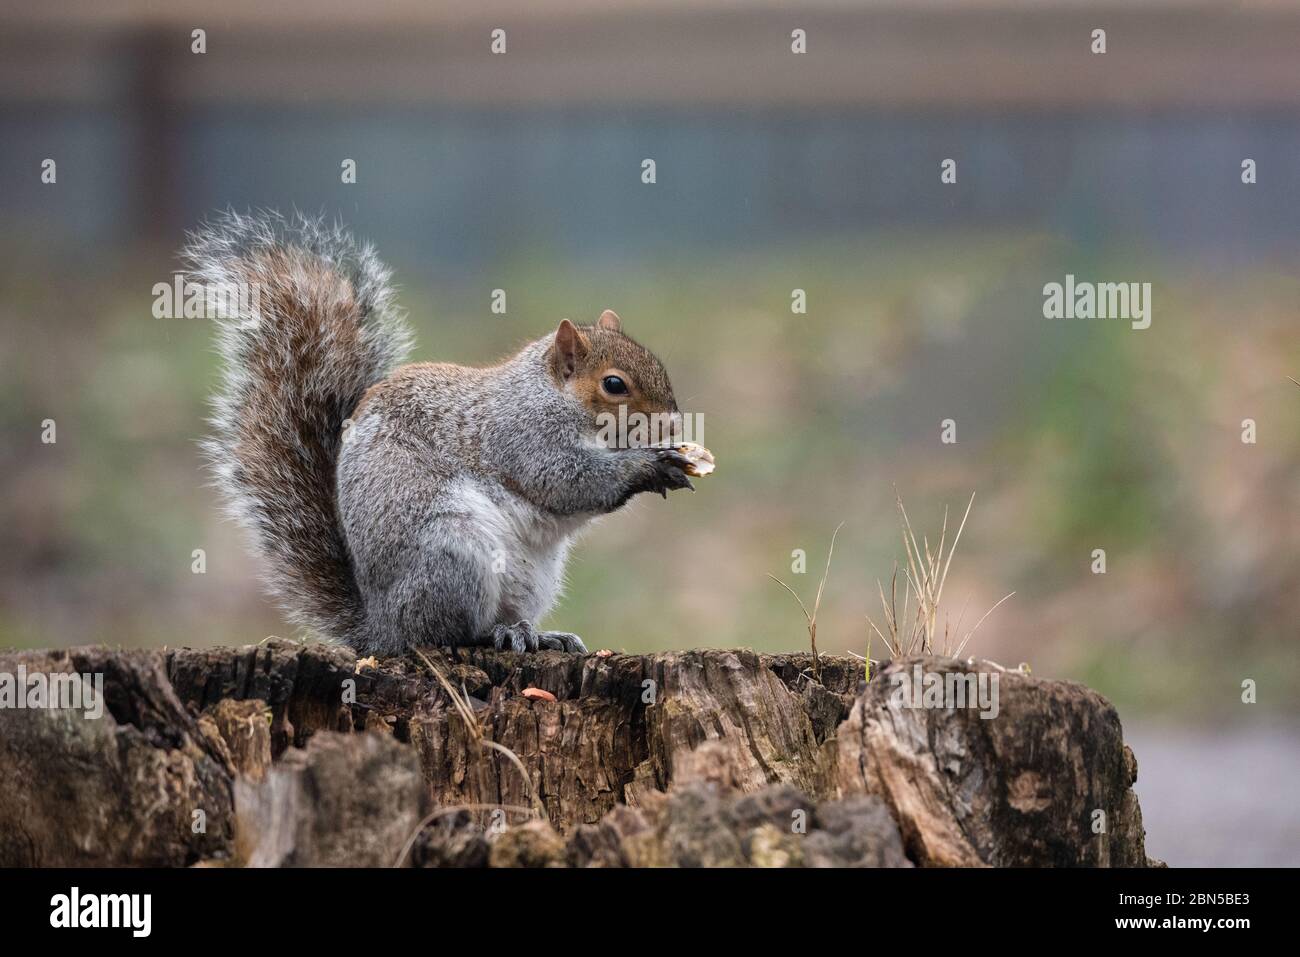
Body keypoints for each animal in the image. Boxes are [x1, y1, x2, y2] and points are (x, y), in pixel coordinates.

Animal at [187, 211, 697, 657]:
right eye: (614, 384)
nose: (673, 423)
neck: (550, 395)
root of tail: (381, 628)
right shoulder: (522, 436)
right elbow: (567, 481)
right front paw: (650, 467)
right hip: (454, 553)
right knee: (440, 634)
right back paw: (487, 636)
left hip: (532, 579)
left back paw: (536, 635)